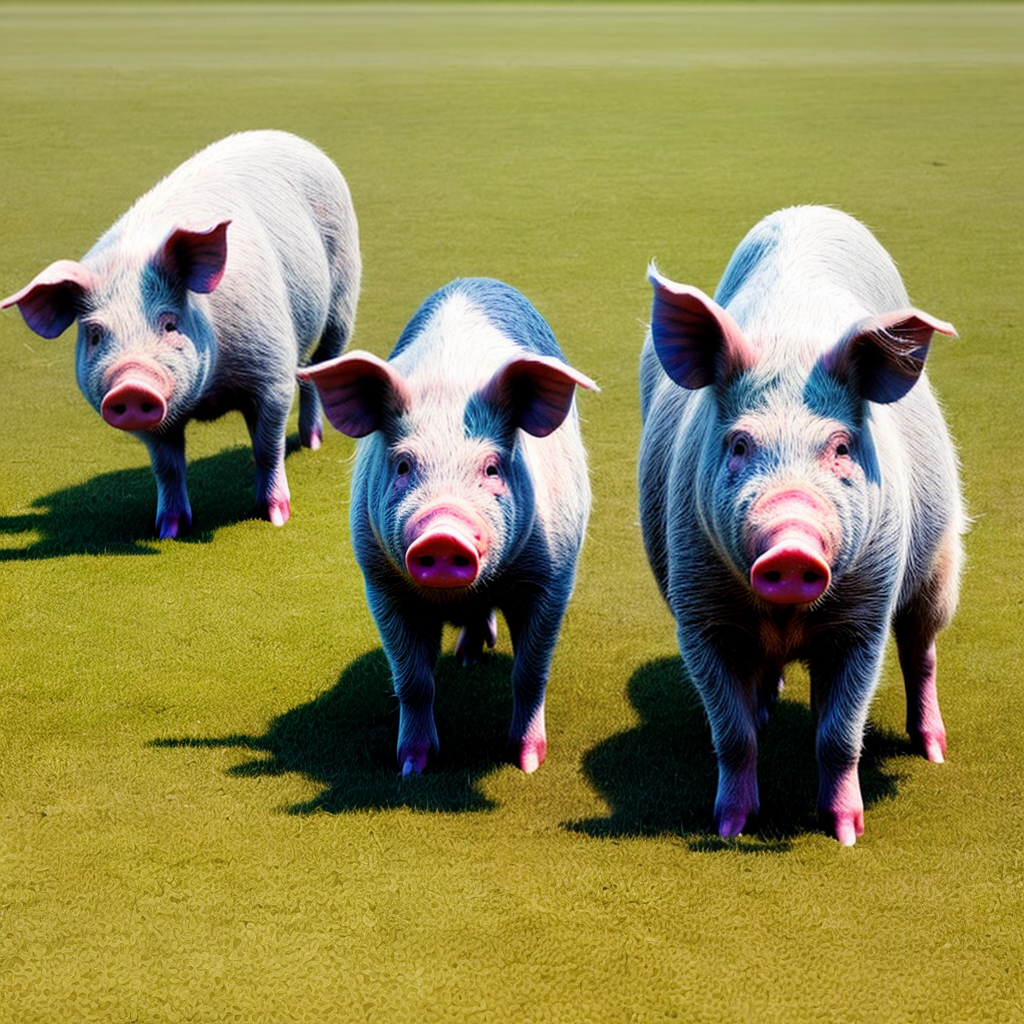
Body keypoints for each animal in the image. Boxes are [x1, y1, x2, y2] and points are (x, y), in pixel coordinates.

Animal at [1, 130, 361, 538]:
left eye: (170, 323)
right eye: (94, 334)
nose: (131, 385)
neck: (210, 395)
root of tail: (286, 136)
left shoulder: (270, 373)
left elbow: (267, 448)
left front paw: (276, 517)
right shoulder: (154, 424)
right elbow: (167, 466)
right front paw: (169, 530)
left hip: (344, 289)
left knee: (323, 361)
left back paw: (312, 443)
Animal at [299, 277, 597, 775]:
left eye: (492, 467)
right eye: (403, 465)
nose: (443, 531)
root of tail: (474, 281)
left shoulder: (553, 576)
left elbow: (530, 672)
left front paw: (527, 763)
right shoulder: (380, 582)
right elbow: (413, 680)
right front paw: (412, 767)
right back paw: (466, 659)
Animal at [638, 205, 964, 845]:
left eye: (839, 447)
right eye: (739, 444)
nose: (791, 545)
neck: (786, 616)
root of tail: (811, 212)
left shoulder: (867, 612)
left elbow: (839, 734)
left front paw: (845, 835)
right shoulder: (697, 609)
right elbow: (732, 735)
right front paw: (731, 829)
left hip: (939, 562)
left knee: (922, 649)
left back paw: (933, 750)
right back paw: (769, 706)